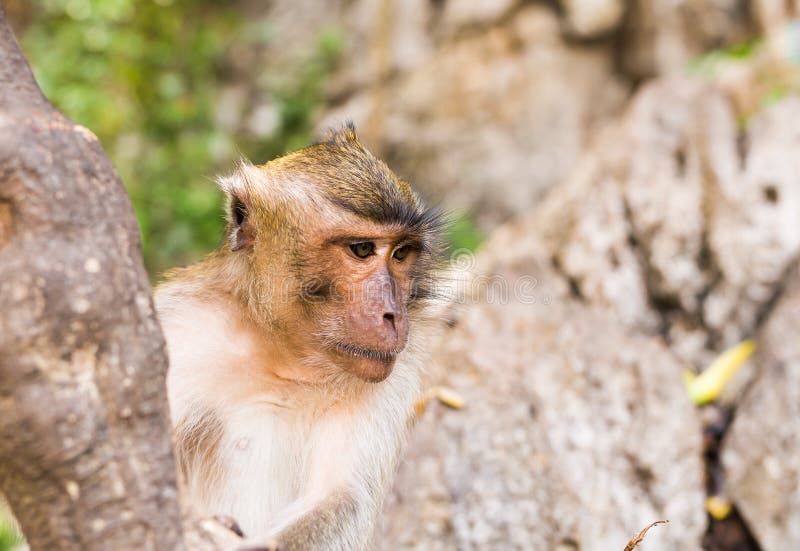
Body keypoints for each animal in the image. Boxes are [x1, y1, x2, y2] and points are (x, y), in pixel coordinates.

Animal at [154, 124, 446, 550]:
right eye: (362, 249)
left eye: (401, 253)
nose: (393, 314)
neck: (286, 355)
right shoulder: (180, 329)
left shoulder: (396, 372)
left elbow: (341, 498)